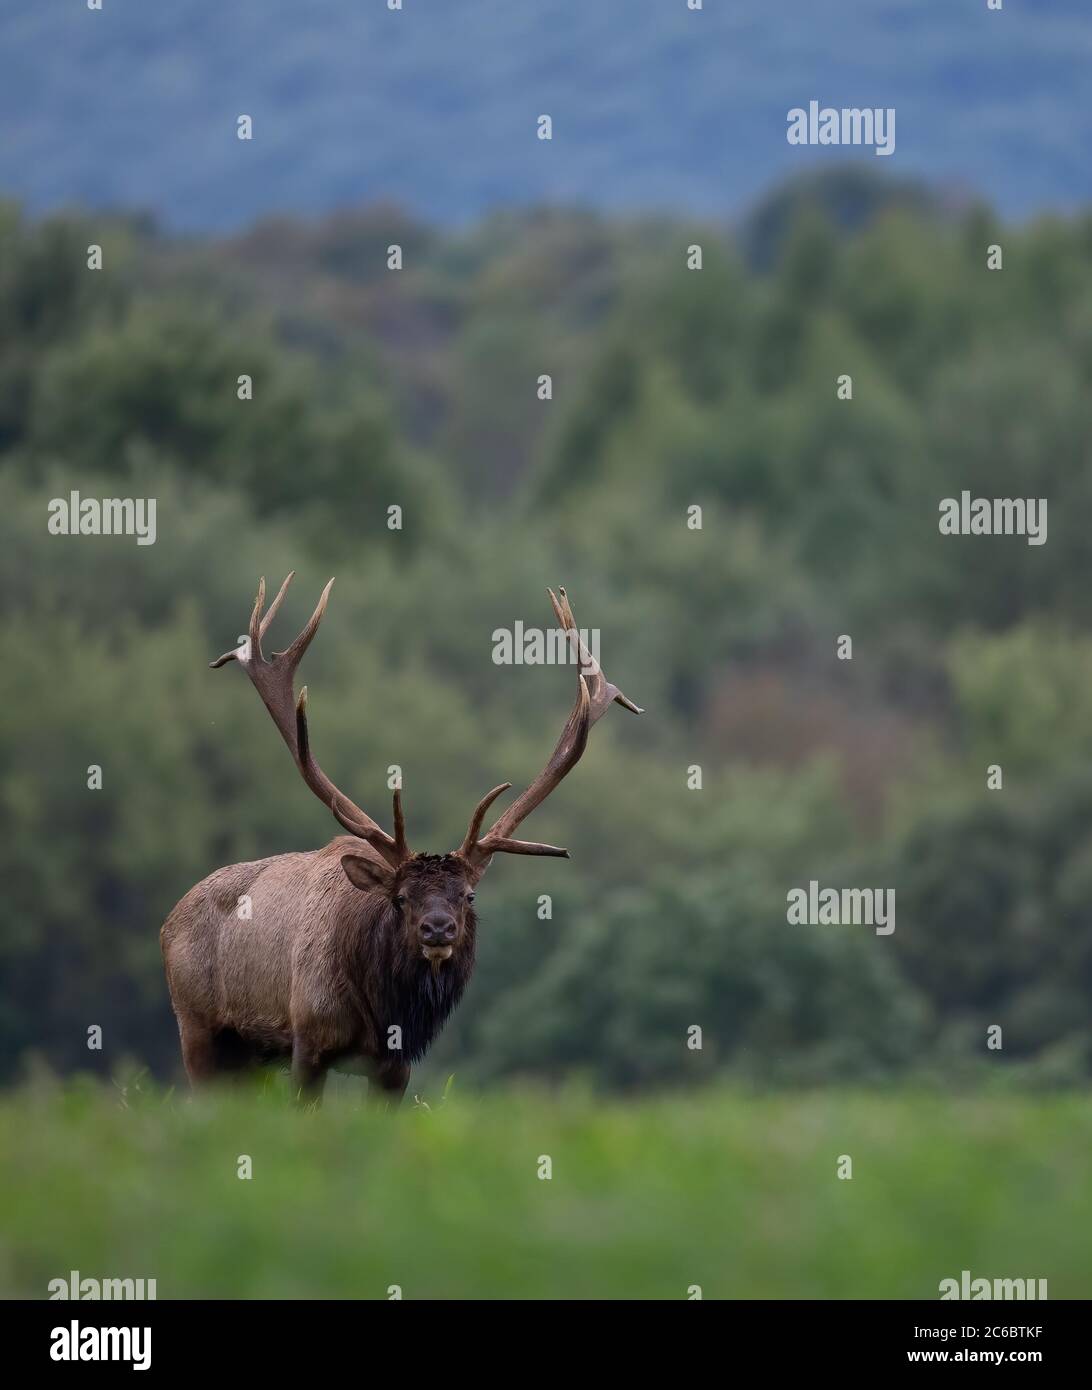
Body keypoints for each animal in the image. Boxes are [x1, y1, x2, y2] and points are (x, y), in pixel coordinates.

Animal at [160, 576, 641, 1106]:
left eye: (468, 895)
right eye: (401, 897)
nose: (438, 929)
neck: (382, 1014)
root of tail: (168, 919)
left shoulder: (397, 1065)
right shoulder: (308, 1037)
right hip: (197, 1027)